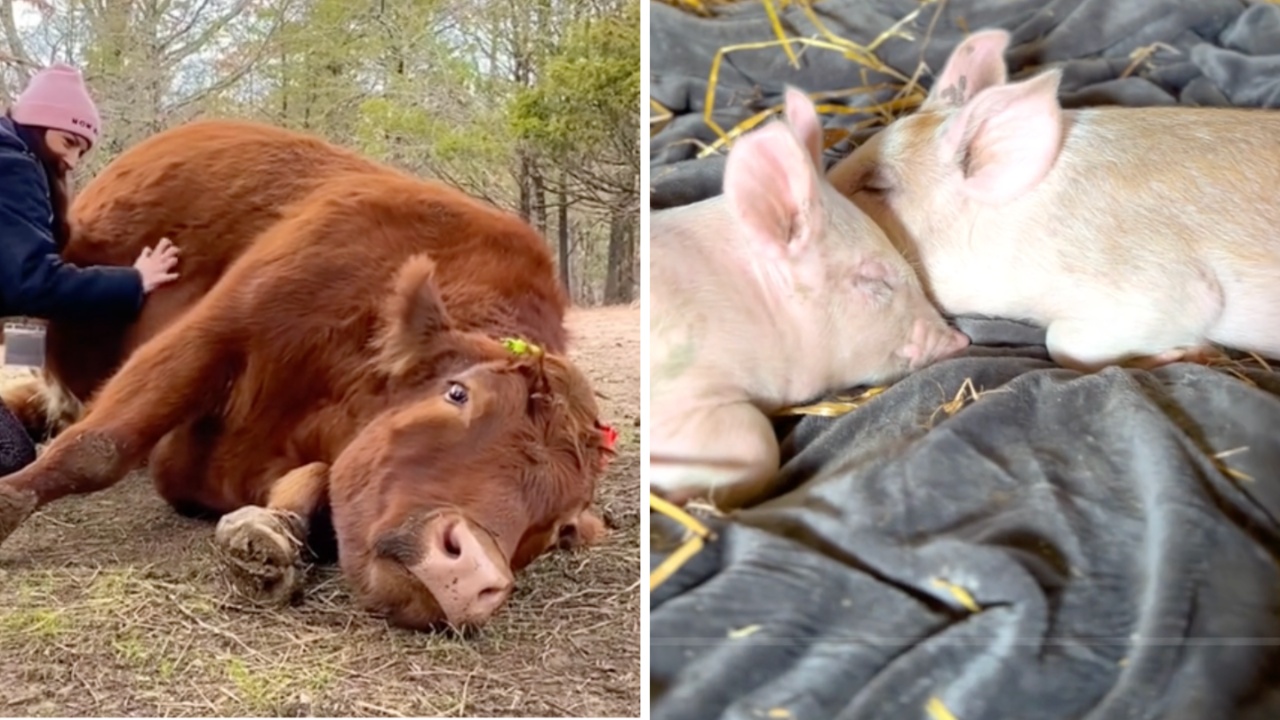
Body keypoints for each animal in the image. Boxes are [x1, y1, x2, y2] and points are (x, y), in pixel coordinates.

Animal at [0, 119, 619, 631]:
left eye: (561, 526)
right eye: (458, 393)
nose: (472, 575)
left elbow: (319, 479)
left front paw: (273, 533)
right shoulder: (215, 330)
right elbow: (100, 447)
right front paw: (7, 501)